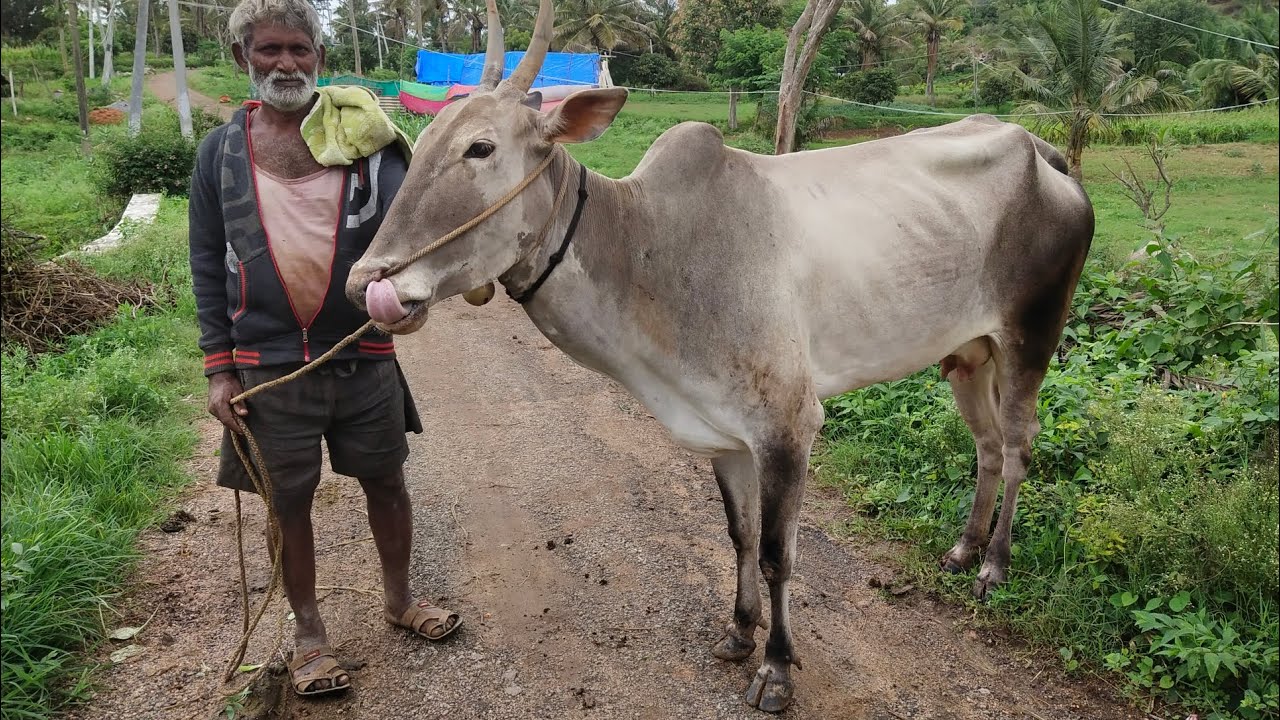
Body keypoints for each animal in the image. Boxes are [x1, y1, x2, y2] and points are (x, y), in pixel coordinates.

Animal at [345, 0, 1094, 711]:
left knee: (1019, 446)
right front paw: (738, 631)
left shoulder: (788, 426)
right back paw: (964, 548)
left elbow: (776, 554)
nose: (366, 282)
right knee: (987, 446)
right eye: (422, 140)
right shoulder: (720, 432)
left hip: (1030, 336)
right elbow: (738, 535)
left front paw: (777, 669)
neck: (649, 245)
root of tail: (1043, 153)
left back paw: (995, 565)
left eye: (480, 148)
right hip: (968, 352)